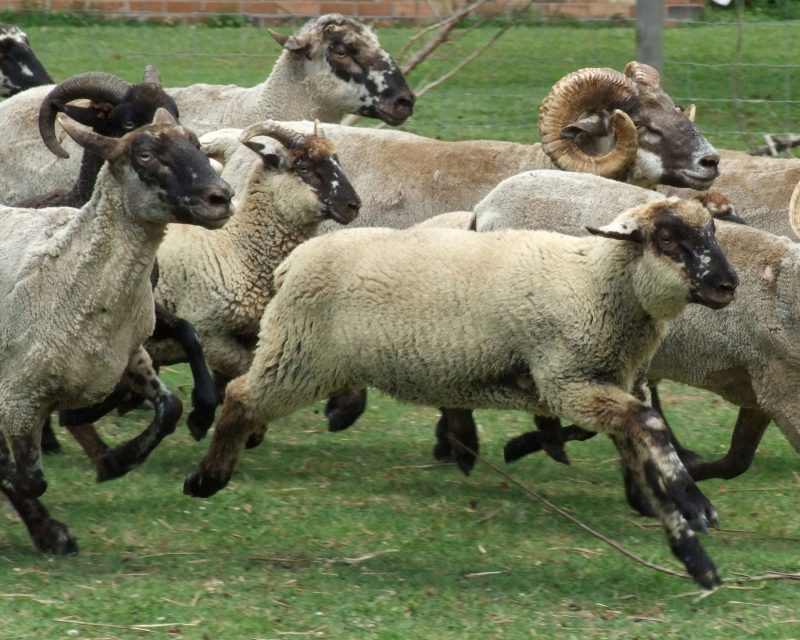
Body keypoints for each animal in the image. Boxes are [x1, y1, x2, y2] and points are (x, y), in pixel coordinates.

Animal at [0, 108, 234, 554]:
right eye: (144, 153)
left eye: (196, 143)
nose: (222, 196)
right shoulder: (16, 397)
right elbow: (29, 479)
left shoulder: (129, 356)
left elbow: (169, 408)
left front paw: (118, 460)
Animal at [145, 121, 360, 431]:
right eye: (303, 167)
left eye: (337, 161)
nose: (354, 205)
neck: (240, 251)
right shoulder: (209, 331)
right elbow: (245, 367)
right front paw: (203, 416)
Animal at [182, 197, 739, 589]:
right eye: (667, 237)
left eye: (712, 231)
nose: (728, 284)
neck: (594, 282)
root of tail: (292, 260)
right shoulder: (568, 382)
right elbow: (652, 424)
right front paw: (697, 508)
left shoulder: (606, 387)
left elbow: (645, 454)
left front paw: (692, 553)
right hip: (299, 354)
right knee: (241, 396)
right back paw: (207, 478)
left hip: (303, 356)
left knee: (246, 397)